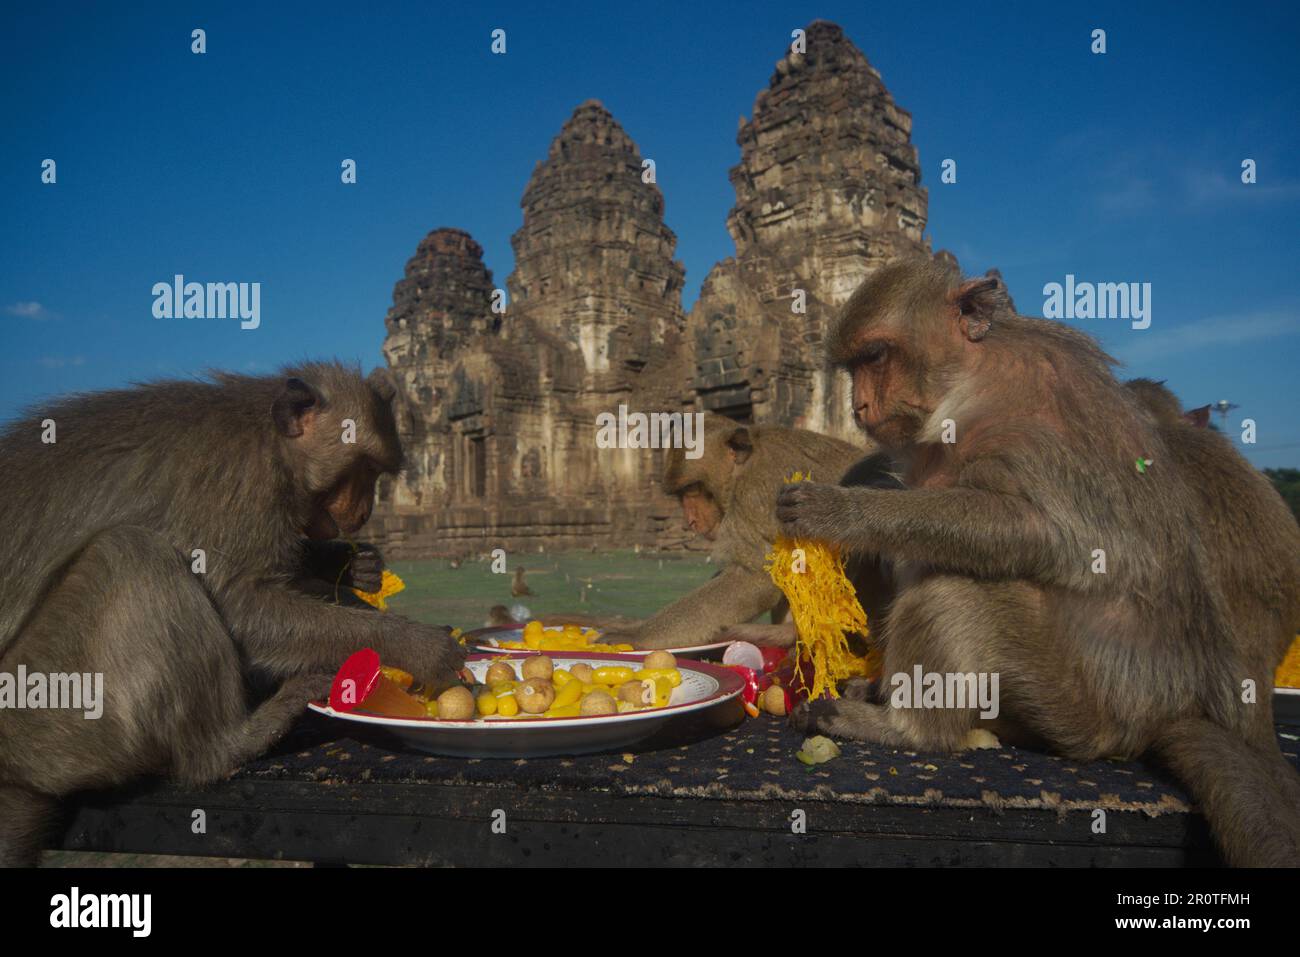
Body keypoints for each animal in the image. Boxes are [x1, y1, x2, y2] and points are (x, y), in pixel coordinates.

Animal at [0, 362, 465, 866]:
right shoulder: (241, 489)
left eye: (378, 472)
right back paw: (229, 745)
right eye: (360, 469)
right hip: (43, 710)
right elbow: (241, 608)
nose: (364, 514)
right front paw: (419, 646)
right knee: (130, 555)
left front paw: (347, 564)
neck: (272, 443)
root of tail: (11, 772)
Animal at [776, 259, 1300, 866]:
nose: (859, 407)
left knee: (952, 588)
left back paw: (907, 730)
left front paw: (840, 512)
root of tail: (1157, 713)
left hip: (1078, 707)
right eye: (855, 367)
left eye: (876, 357)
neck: (970, 379)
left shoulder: (1027, 417)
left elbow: (1043, 533)